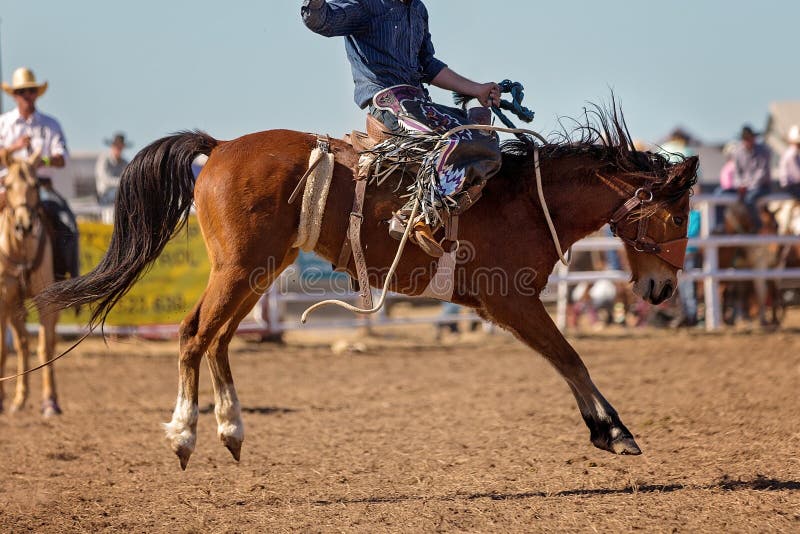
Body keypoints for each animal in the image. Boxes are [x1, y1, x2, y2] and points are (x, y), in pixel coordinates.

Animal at [36, 107, 698, 469]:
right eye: (675, 216)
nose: (663, 289)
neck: (527, 202)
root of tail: (221, 148)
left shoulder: (513, 306)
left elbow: (566, 362)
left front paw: (605, 429)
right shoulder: (513, 300)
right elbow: (571, 358)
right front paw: (615, 432)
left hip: (258, 270)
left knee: (219, 338)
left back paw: (230, 430)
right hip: (237, 268)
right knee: (195, 332)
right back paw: (185, 434)